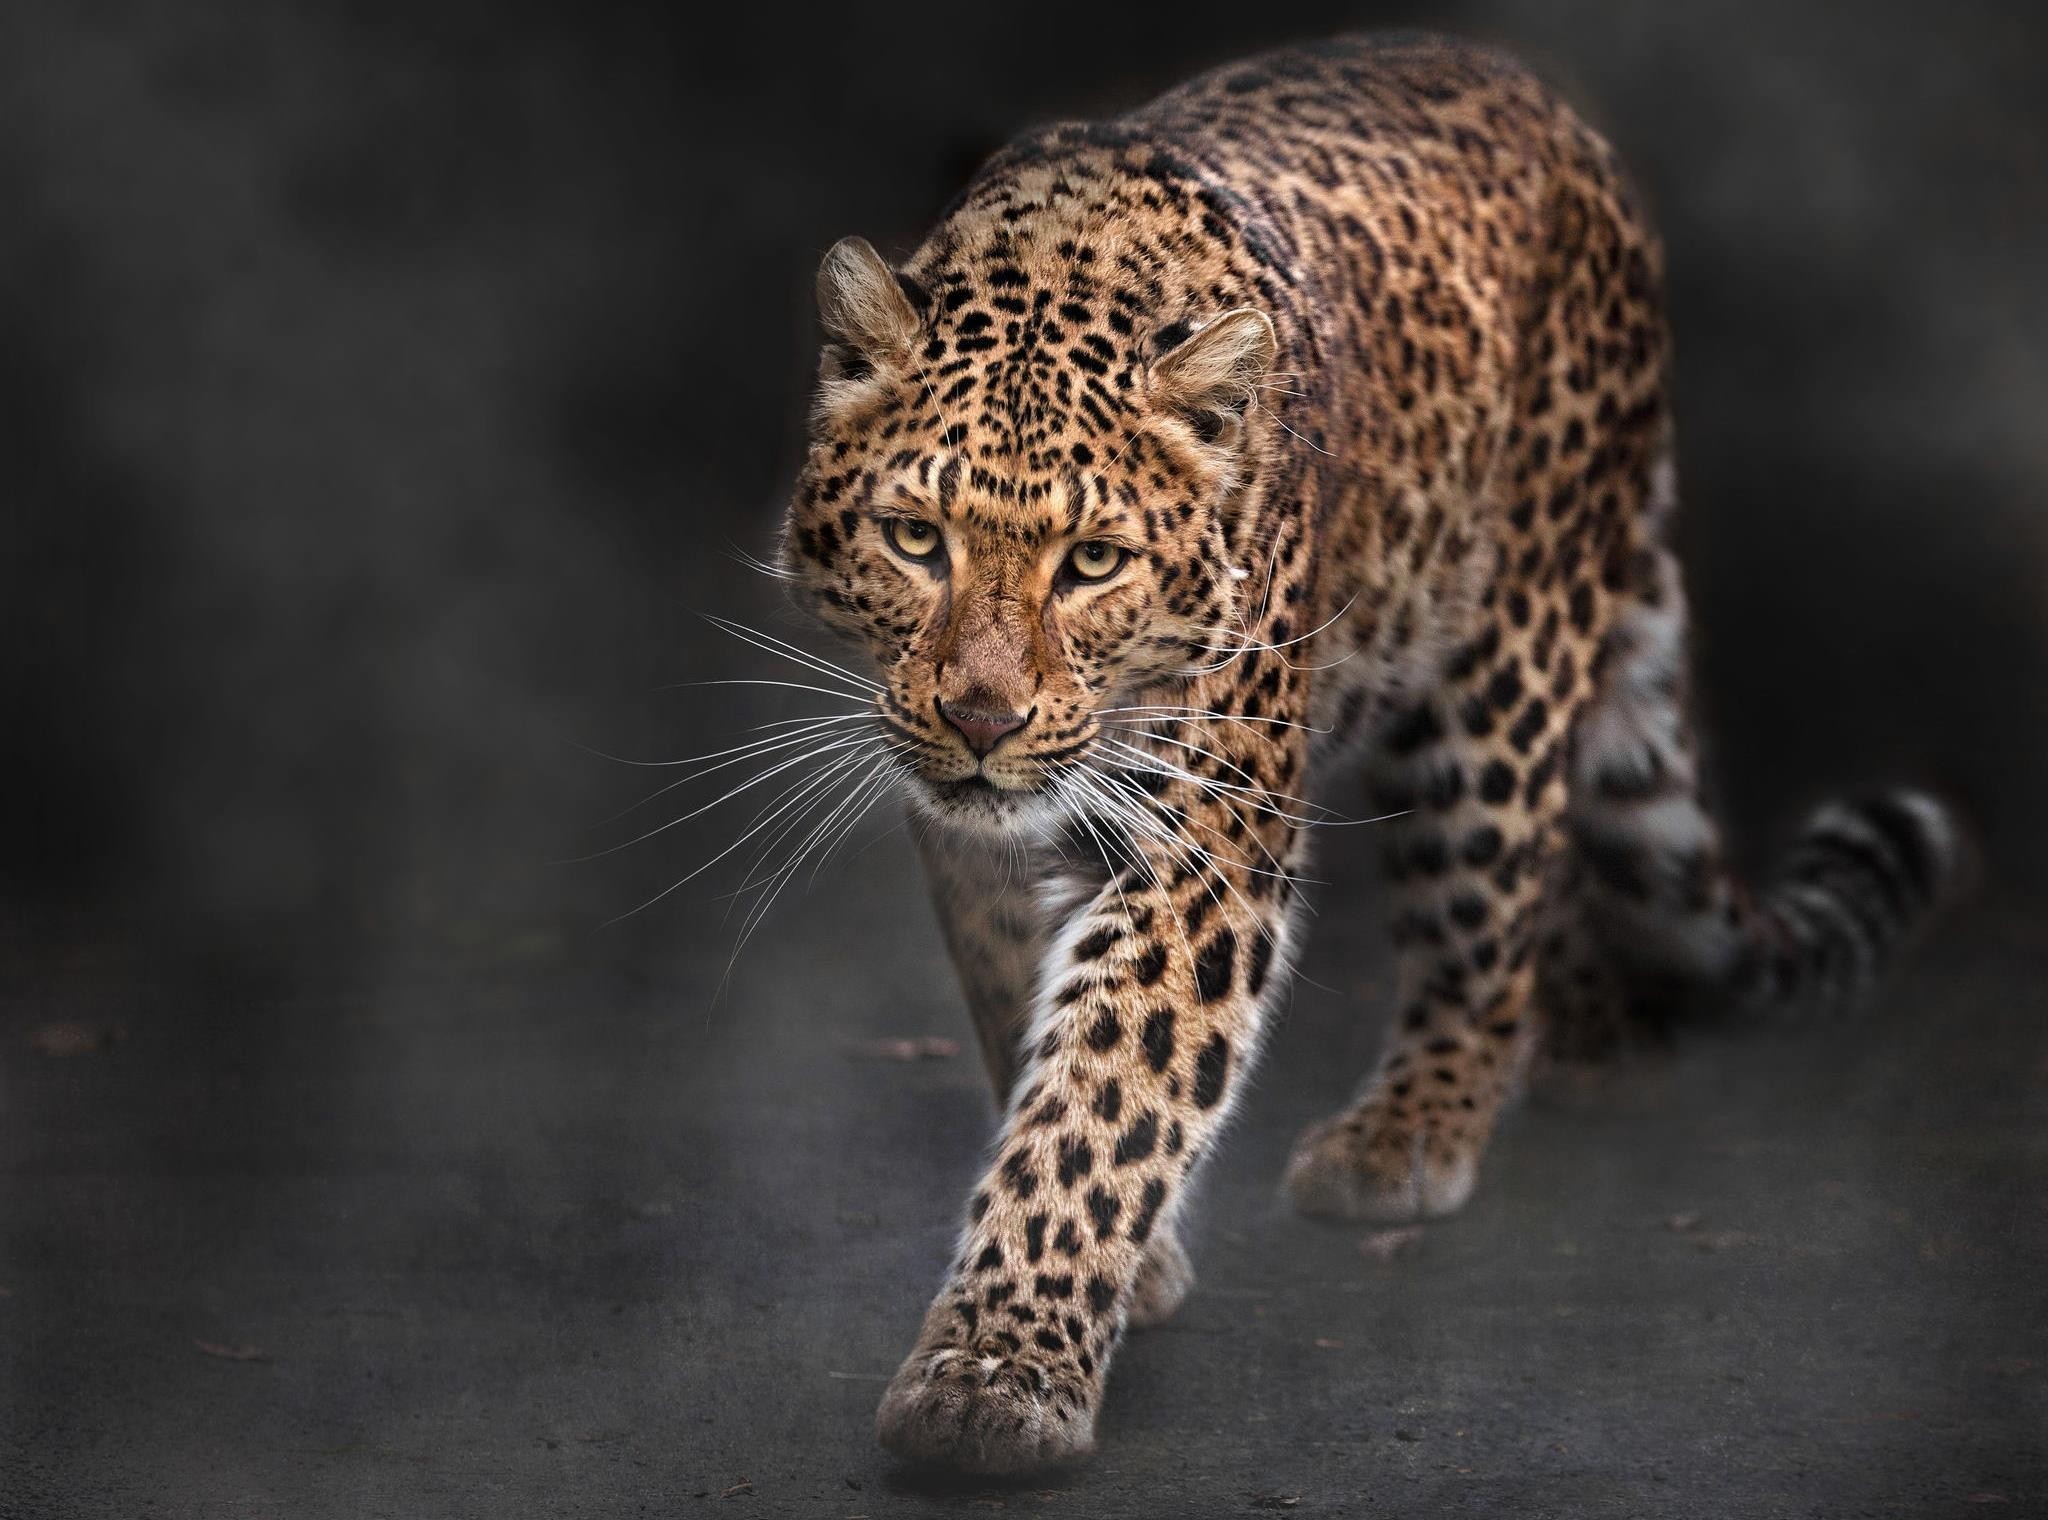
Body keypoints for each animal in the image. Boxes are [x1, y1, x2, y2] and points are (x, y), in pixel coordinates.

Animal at [773, 32, 1961, 1474]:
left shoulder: (1205, 855)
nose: (983, 718)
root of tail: (1538, 99)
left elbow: (1108, 1091)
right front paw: (1121, 1270)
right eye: (915, 539)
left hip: (1501, 669)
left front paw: (995, 1374)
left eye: (1093, 562)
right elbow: (1026, 1013)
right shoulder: (974, 844)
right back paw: (1602, 1036)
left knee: (1490, 916)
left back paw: (1418, 1124)